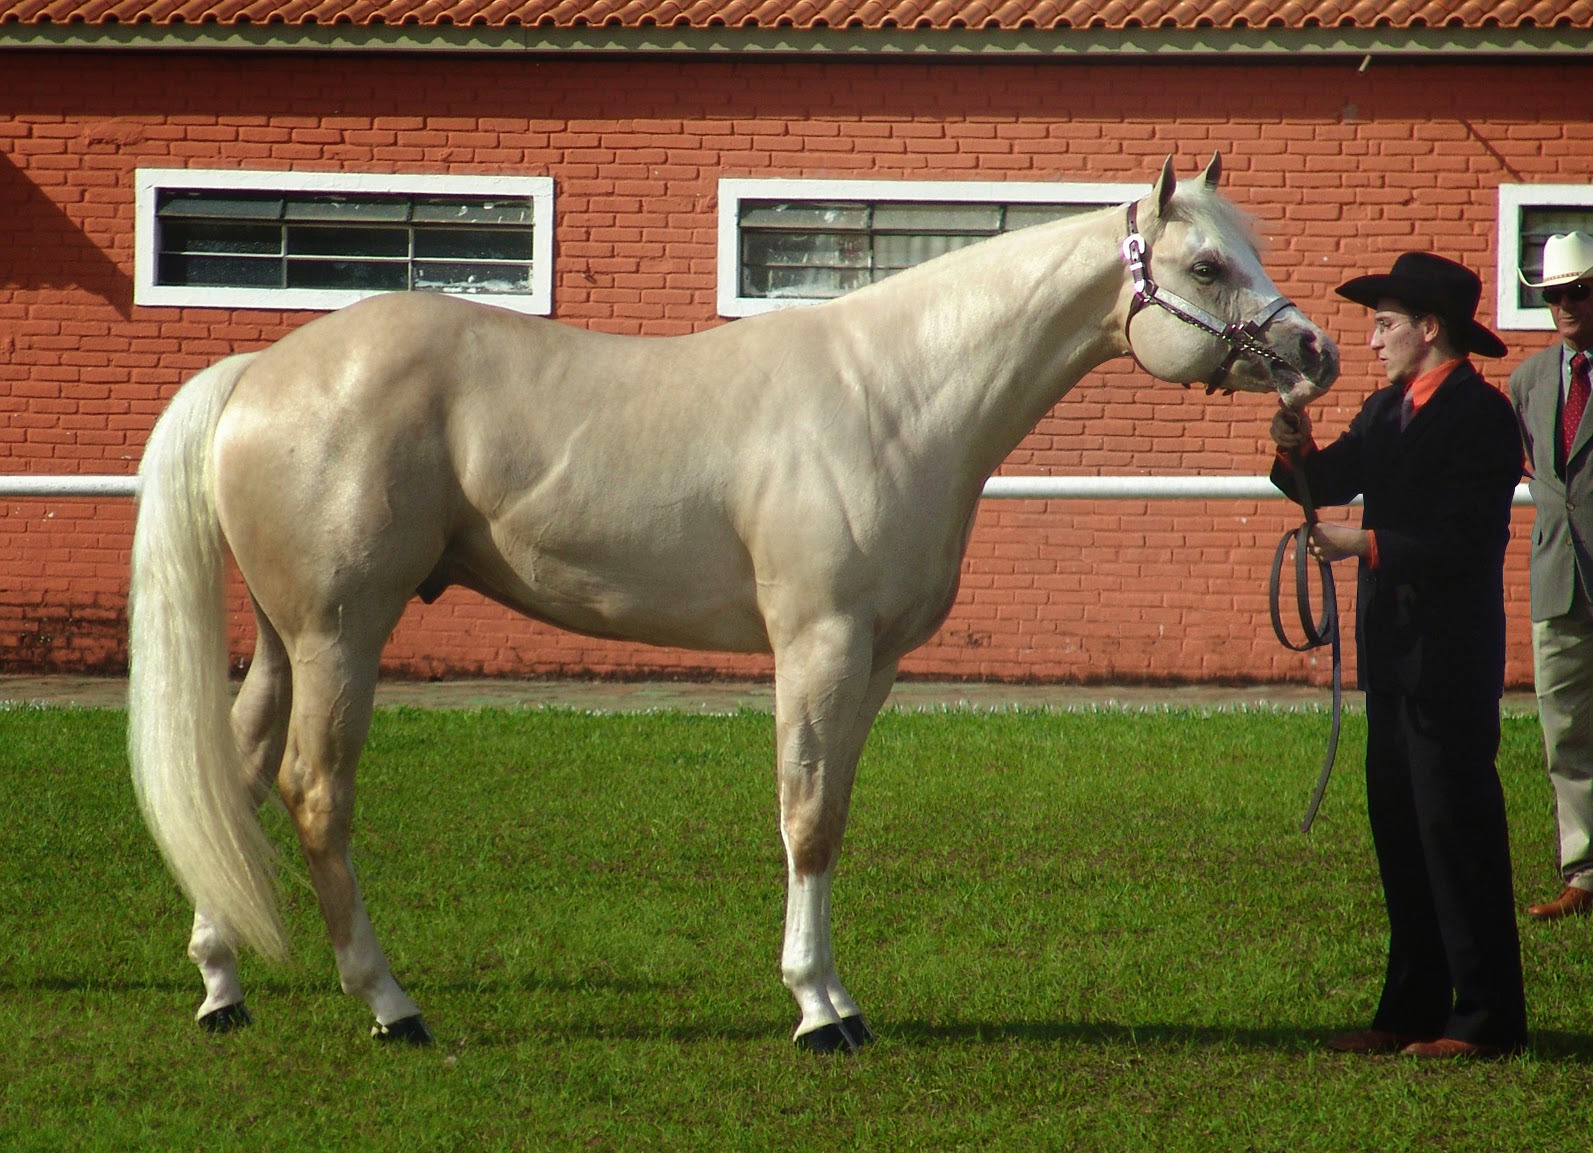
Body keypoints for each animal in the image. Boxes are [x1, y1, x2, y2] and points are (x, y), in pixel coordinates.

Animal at [127, 153, 1339, 1052]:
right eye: (1205, 262)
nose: (1313, 352)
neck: (894, 395)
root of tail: (261, 370)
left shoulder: (874, 662)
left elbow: (834, 813)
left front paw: (838, 996)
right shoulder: (816, 644)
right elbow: (804, 815)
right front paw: (816, 1010)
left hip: (285, 635)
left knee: (238, 768)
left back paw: (222, 984)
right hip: (341, 631)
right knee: (313, 791)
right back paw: (390, 1005)